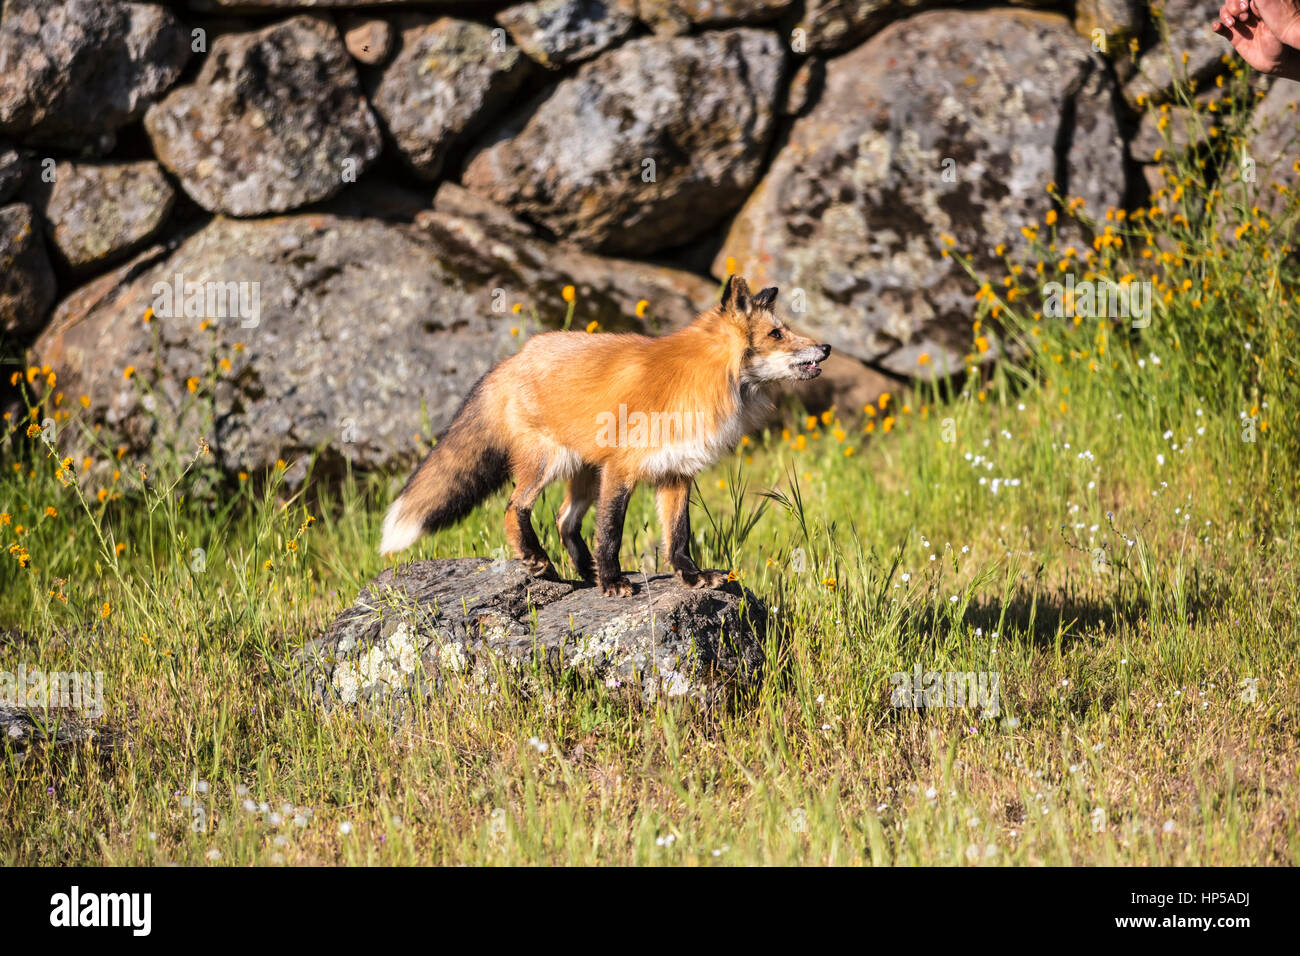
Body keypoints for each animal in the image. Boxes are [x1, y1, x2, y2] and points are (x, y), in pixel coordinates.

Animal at [379, 275, 832, 597]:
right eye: (777, 335)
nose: (826, 347)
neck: (700, 381)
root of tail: (512, 358)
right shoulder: (621, 469)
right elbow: (611, 532)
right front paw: (613, 582)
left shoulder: (676, 473)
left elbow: (678, 537)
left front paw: (691, 578)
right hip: (549, 464)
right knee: (514, 507)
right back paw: (540, 561)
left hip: (583, 473)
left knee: (564, 521)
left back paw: (585, 572)